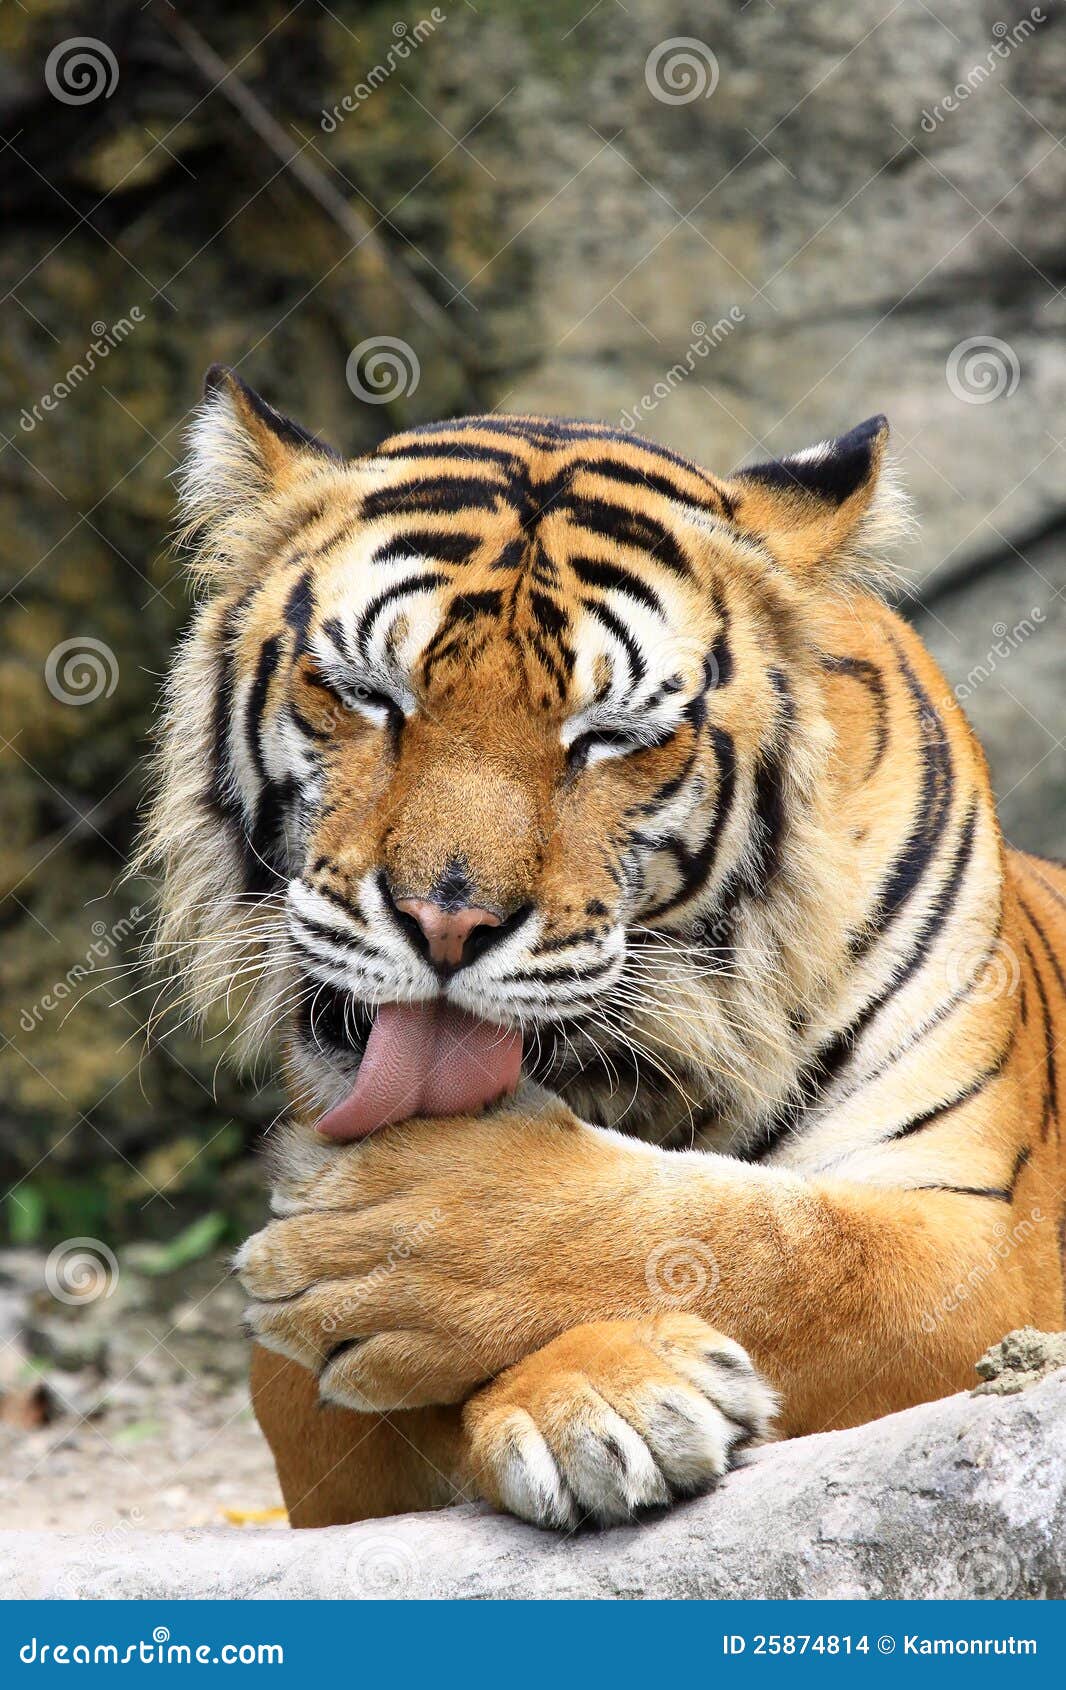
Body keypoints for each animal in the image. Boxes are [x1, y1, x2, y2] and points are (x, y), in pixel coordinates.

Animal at [138, 366, 1065, 1532]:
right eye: (368, 695)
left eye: (610, 737)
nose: (447, 920)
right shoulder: (305, 1417)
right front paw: (600, 1394)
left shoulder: (989, 1246)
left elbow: (780, 1248)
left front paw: (407, 1241)